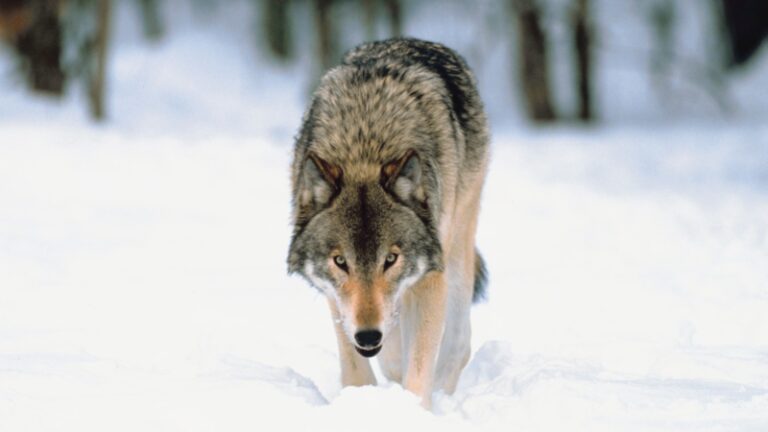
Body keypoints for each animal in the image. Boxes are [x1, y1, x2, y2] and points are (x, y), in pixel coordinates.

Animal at [287, 38, 489, 408]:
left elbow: (418, 369)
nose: (368, 336)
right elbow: (357, 368)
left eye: (391, 259)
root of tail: (413, 40)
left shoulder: (430, 276)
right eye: (341, 262)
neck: (365, 146)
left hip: (457, 243)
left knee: (458, 342)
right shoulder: (337, 298)